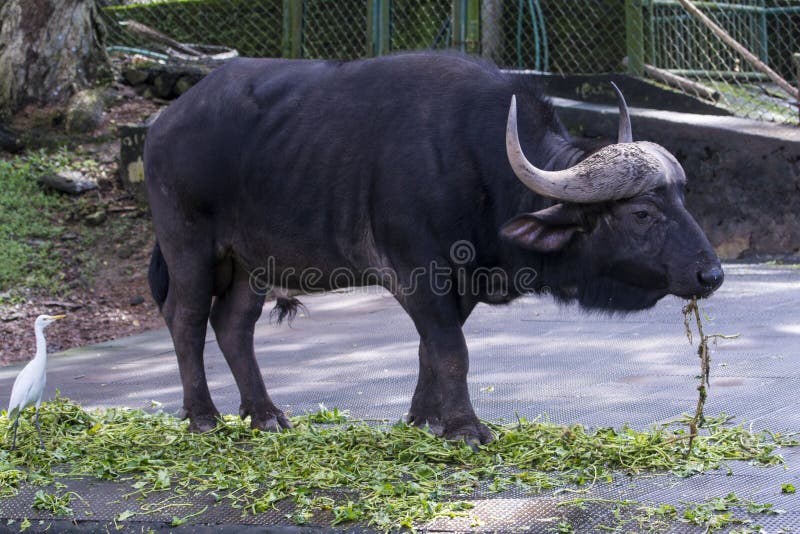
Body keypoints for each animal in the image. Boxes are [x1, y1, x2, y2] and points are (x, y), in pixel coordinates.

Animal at [145, 52, 723, 445]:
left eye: (683, 197)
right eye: (641, 213)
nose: (711, 275)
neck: (475, 163)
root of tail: (163, 124)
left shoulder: (460, 285)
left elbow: (432, 349)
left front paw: (424, 419)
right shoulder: (417, 271)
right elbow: (451, 350)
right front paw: (465, 427)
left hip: (252, 262)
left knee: (233, 324)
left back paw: (264, 413)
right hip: (188, 244)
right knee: (186, 317)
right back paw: (203, 415)